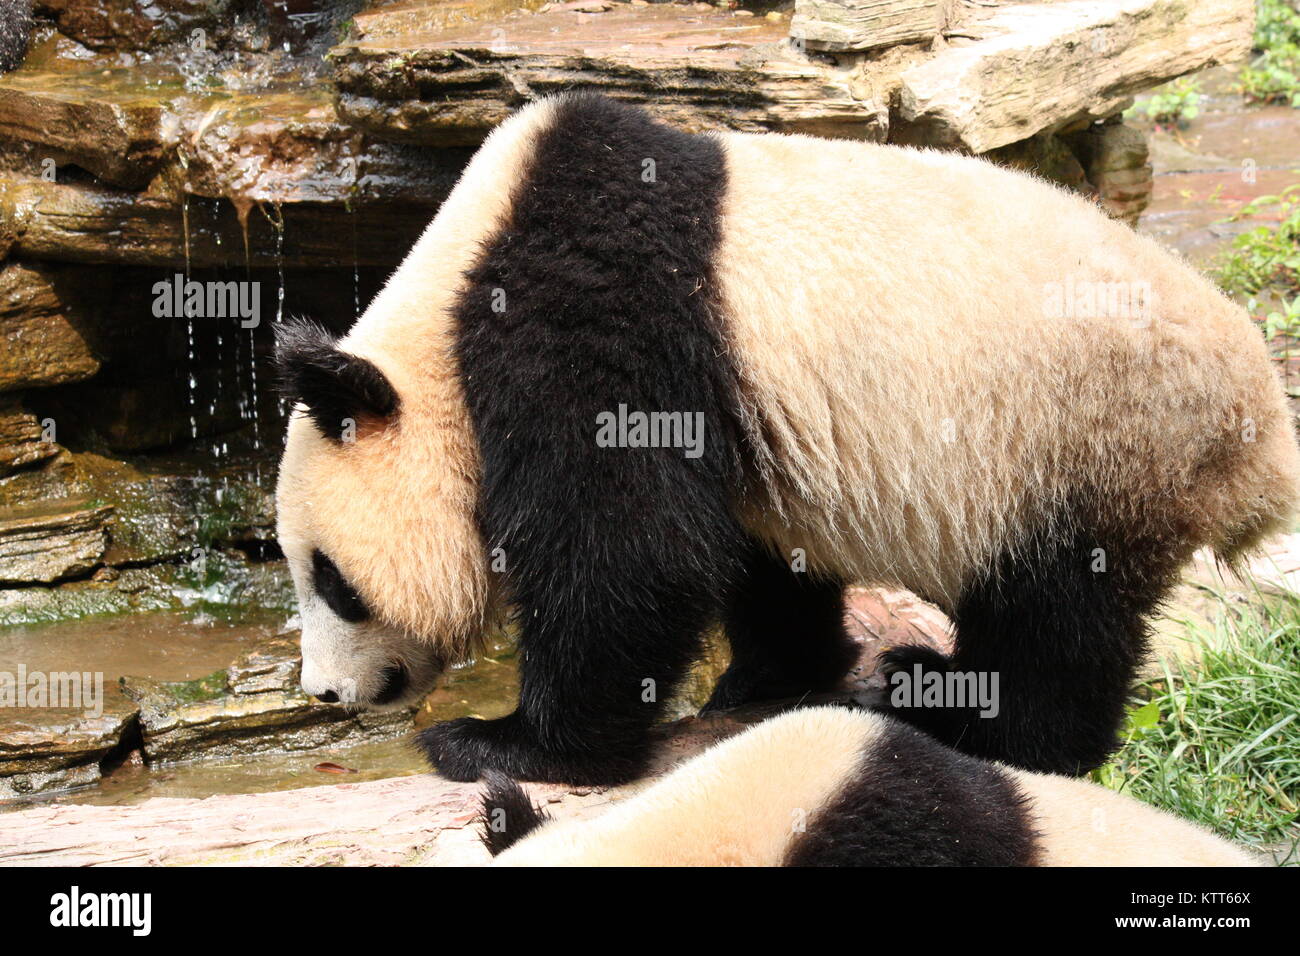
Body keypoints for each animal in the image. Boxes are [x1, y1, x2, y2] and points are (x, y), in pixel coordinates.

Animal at [274, 92, 1300, 786]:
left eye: (330, 579)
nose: (326, 693)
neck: (447, 306)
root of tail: (1262, 433)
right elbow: (749, 550)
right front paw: (765, 680)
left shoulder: (593, 315)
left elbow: (627, 548)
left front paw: (503, 741)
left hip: (1093, 437)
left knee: (1058, 619)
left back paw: (977, 720)